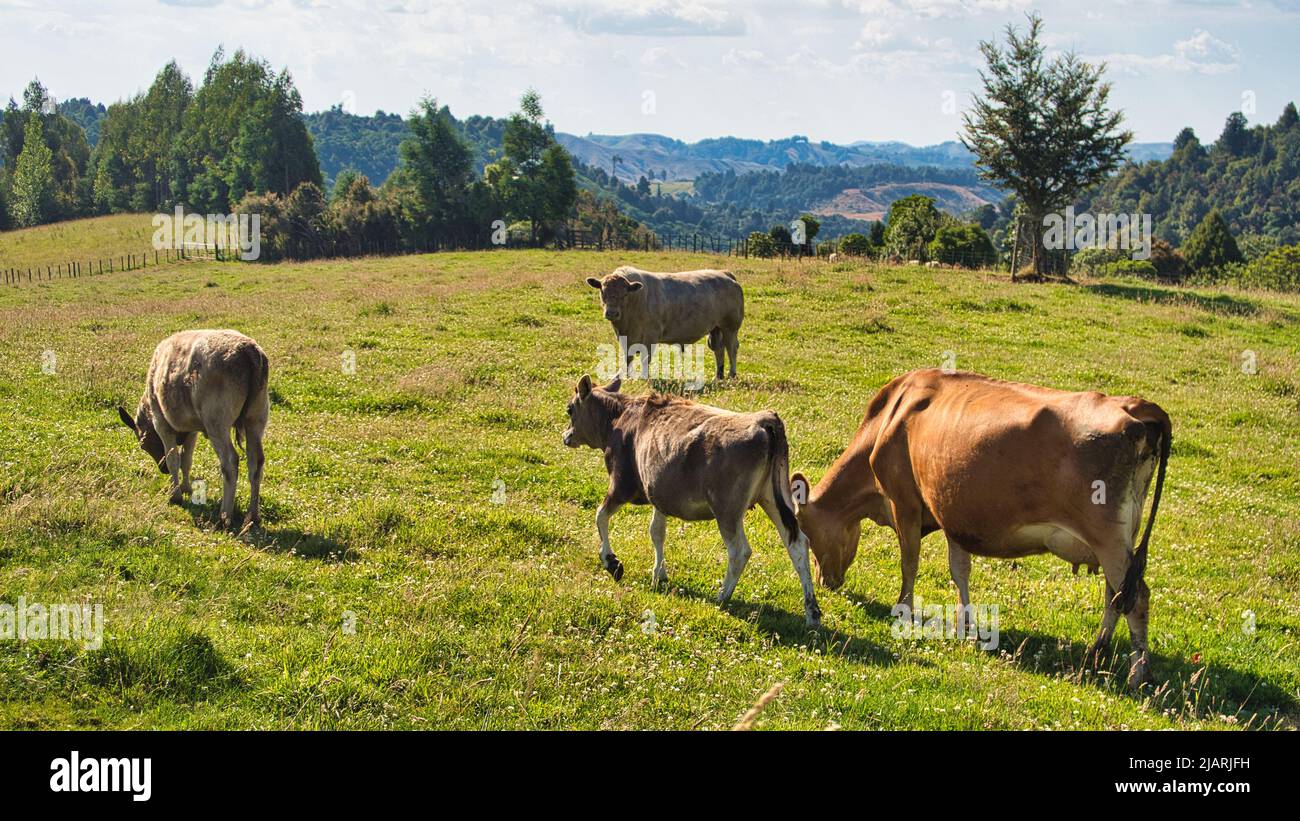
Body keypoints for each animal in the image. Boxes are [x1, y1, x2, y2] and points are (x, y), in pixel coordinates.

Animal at [118, 329, 270, 531]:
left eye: (144, 445)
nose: (162, 469)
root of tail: (248, 350)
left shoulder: (162, 423)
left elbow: (174, 459)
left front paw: (175, 496)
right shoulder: (192, 430)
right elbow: (186, 460)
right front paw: (186, 488)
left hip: (217, 423)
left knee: (230, 462)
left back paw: (224, 516)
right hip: (255, 420)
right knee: (256, 462)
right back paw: (252, 516)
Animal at [562, 374, 821, 627]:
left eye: (569, 409)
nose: (566, 436)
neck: (619, 417)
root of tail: (764, 420)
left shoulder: (621, 484)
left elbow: (600, 515)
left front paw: (611, 562)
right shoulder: (660, 494)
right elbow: (656, 532)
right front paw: (658, 574)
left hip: (727, 509)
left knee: (739, 551)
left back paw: (722, 596)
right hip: (774, 498)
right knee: (797, 544)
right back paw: (812, 613)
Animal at [585, 266, 744, 380]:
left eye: (625, 294)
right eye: (602, 292)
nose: (611, 313)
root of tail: (724, 273)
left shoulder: (651, 336)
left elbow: (645, 358)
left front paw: (644, 377)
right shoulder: (624, 338)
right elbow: (628, 358)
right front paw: (628, 377)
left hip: (730, 327)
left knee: (732, 348)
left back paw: (732, 375)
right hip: (716, 328)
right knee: (719, 349)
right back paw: (718, 376)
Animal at [791, 369, 1171, 686]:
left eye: (807, 535)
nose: (826, 581)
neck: (889, 419)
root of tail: (1136, 406)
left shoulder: (905, 504)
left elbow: (909, 563)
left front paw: (904, 610)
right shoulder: (954, 515)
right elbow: (959, 571)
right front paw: (965, 623)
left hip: (1107, 537)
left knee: (1137, 598)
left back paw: (1138, 674)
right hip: (1120, 541)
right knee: (1115, 595)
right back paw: (1098, 649)